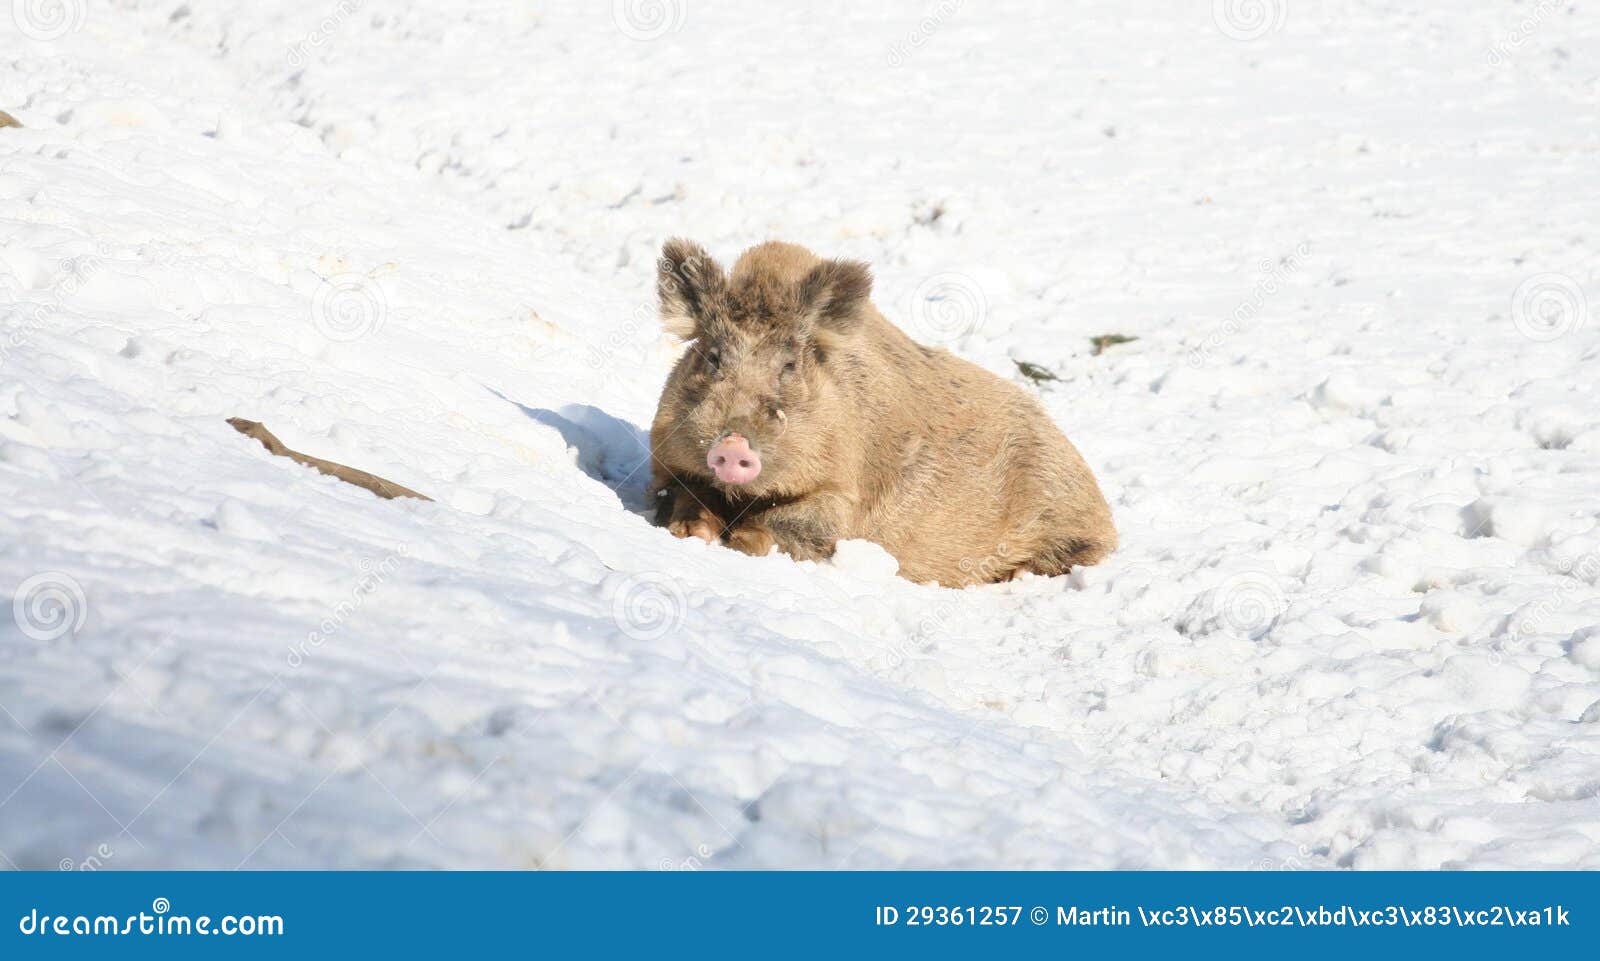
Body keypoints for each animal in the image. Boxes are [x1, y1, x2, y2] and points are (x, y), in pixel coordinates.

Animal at [648, 239, 1115, 587]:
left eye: (789, 365)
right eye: (713, 358)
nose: (731, 444)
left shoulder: (842, 493)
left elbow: (791, 525)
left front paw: (742, 542)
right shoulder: (667, 462)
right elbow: (684, 495)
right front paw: (692, 533)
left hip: (1070, 515)